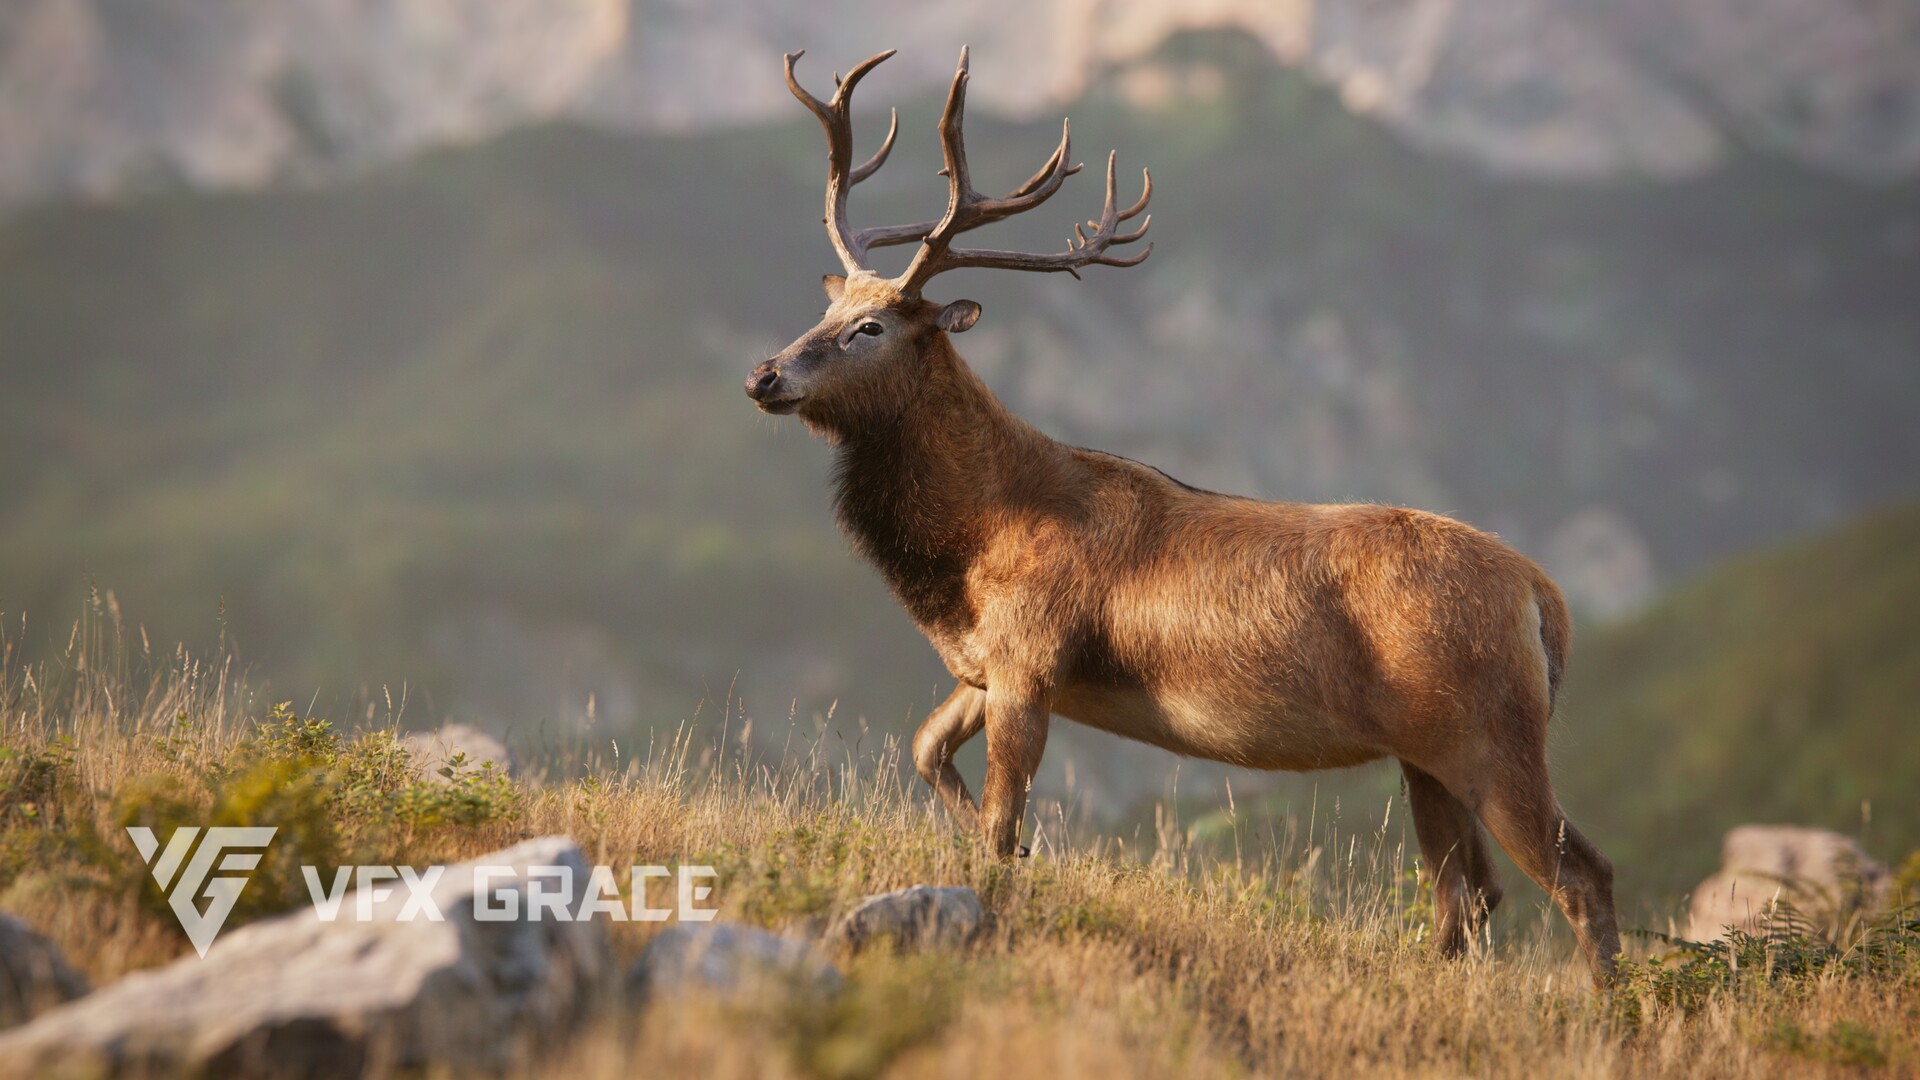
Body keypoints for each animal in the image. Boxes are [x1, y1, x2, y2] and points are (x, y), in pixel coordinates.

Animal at [745, 46, 1621, 984]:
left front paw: (1001, 891)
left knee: (1579, 874)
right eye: (825, 309)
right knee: (1469, 894)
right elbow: (926, 752)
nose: (765, 374)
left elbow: (1000, 822)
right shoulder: (986, 667)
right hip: (1429, 753)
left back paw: (1613, 1004)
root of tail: (1547, 602)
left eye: (869, 327)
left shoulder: (1031, 657)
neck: (968, 551)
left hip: (1490, 733)